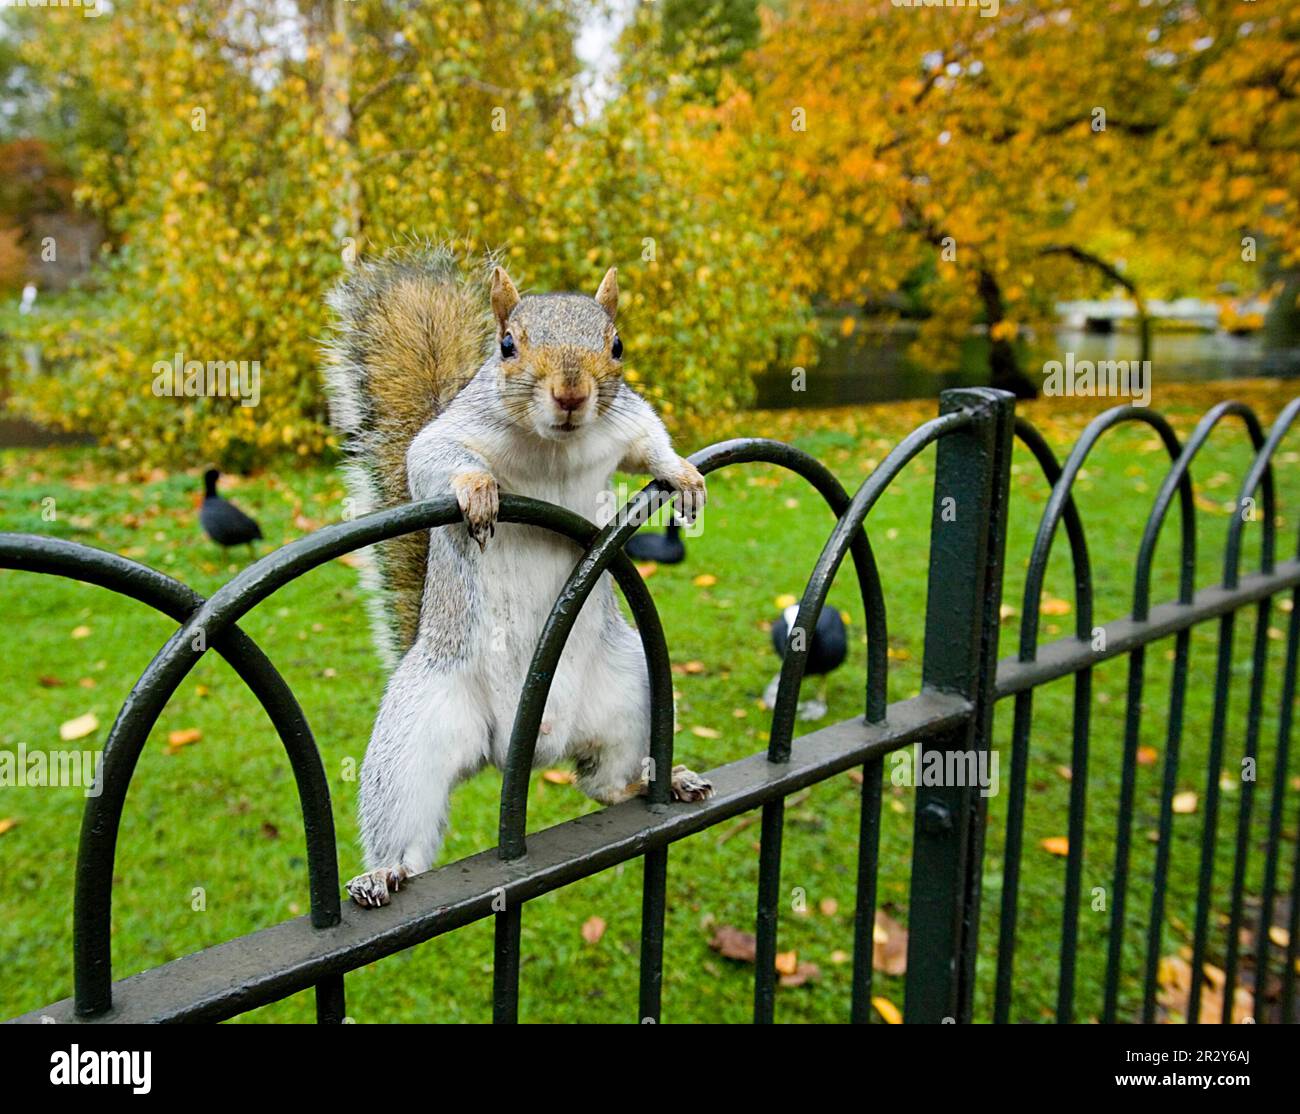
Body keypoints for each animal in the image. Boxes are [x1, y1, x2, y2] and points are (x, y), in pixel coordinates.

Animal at [323, 244, 714, 907]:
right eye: (507, 345)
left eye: (617, 346)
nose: (571, 392)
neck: (553, 445)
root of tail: (524, 746)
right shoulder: (452, 434)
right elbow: (434, 460)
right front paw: (477, 489)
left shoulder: (626, 422)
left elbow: (651, 441)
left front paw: (683, 474)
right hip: (416, 734)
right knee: (406, 832)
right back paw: (384, 873)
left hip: (630, 693)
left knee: (602, 784)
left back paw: (656, 782)